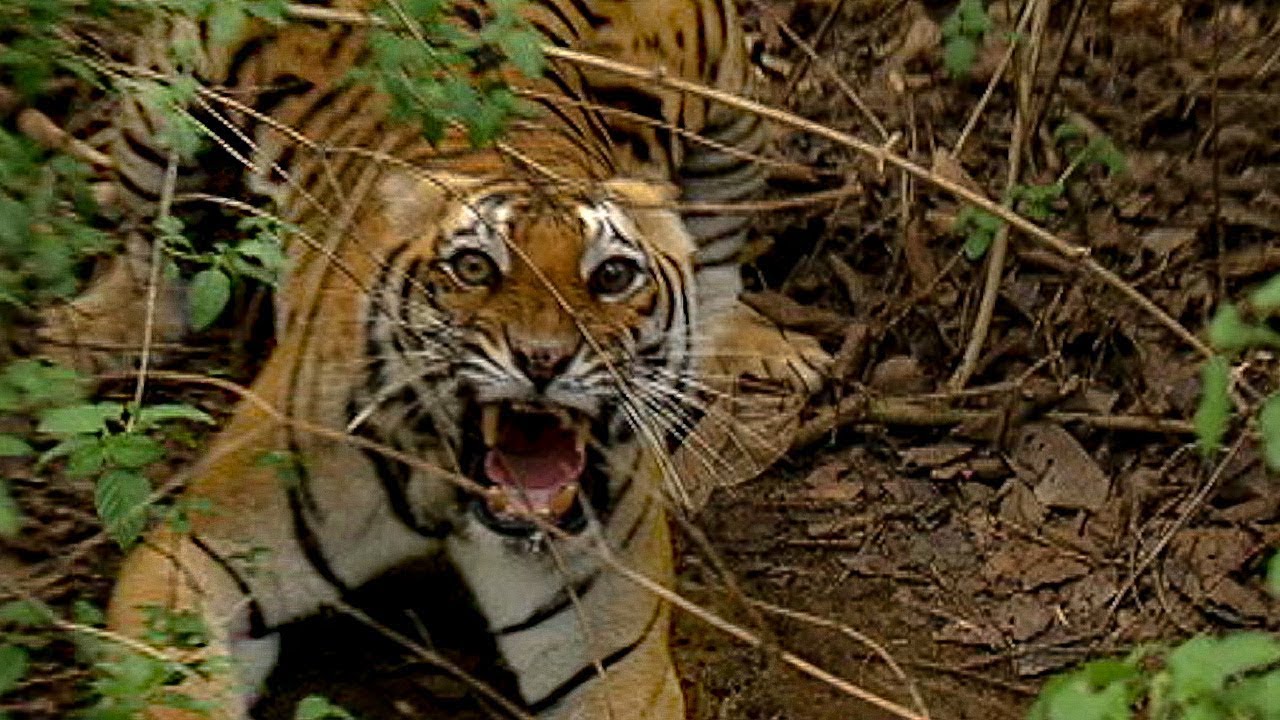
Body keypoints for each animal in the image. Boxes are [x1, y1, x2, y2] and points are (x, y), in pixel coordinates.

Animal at [44, 0, 828, 717]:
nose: (544, 359)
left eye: (612, 276)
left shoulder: (610, 648)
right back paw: (87, 334)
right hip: (168, 84)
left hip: (733, 111)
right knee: (149, 237)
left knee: (718, 260)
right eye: (475, 268)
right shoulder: (193, 557)